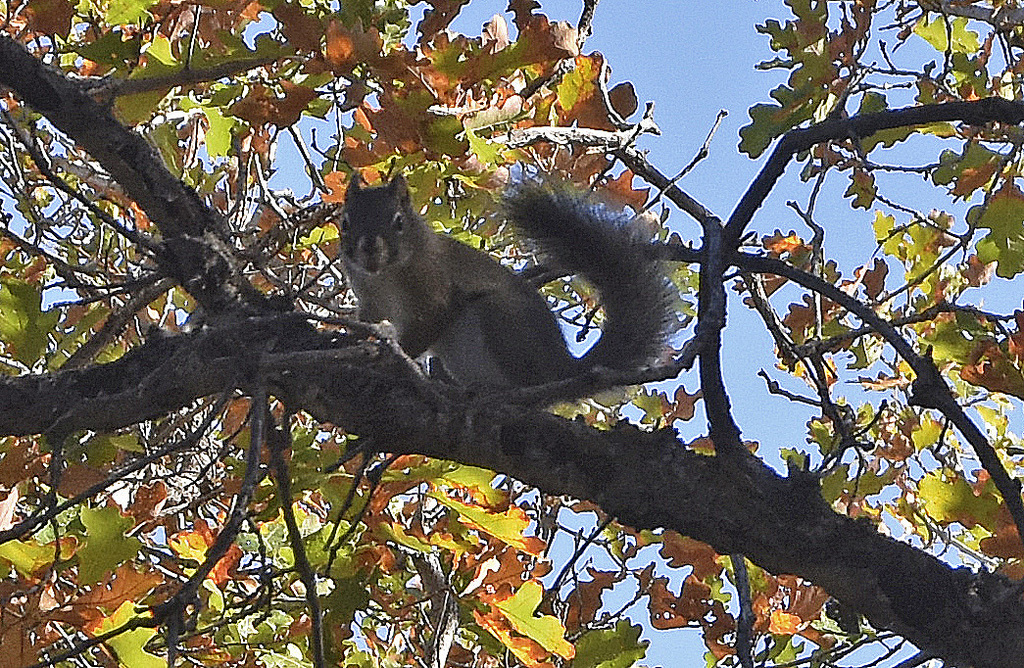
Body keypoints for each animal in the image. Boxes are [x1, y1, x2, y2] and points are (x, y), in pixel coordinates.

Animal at [339, 174, 675, 388]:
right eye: (344, 222)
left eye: (398, 221)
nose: (369, 247)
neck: (384, 275)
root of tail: (561, 368)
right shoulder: (371, 303)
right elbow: (366, 323)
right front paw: (350, 342)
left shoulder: (434, 289)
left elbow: (427, 326)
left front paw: (387, 360)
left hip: (499, 319)